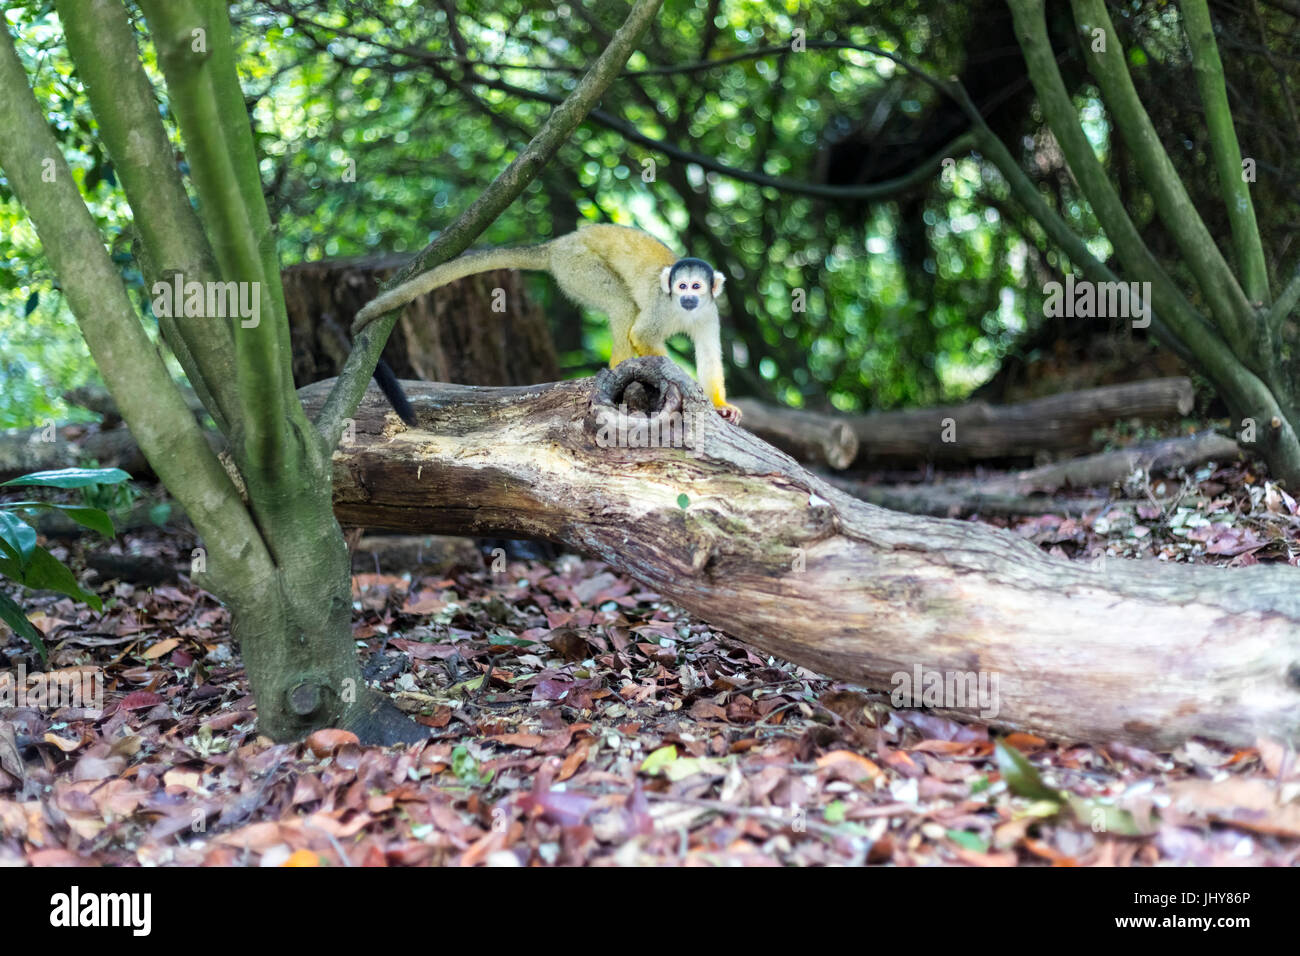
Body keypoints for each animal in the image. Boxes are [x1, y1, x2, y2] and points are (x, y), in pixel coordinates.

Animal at [352, 223, 741, 423]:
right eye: (680, 287)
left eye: (696, 287)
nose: (687, 297)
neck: (684, 310)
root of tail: (557, 244)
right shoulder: (662, 304)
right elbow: (643, 333)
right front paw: (680, 379)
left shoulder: (709, 312)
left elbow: (709, 354)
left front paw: (720, 405)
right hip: (577, 267)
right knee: (623, 306)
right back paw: (620, 366)